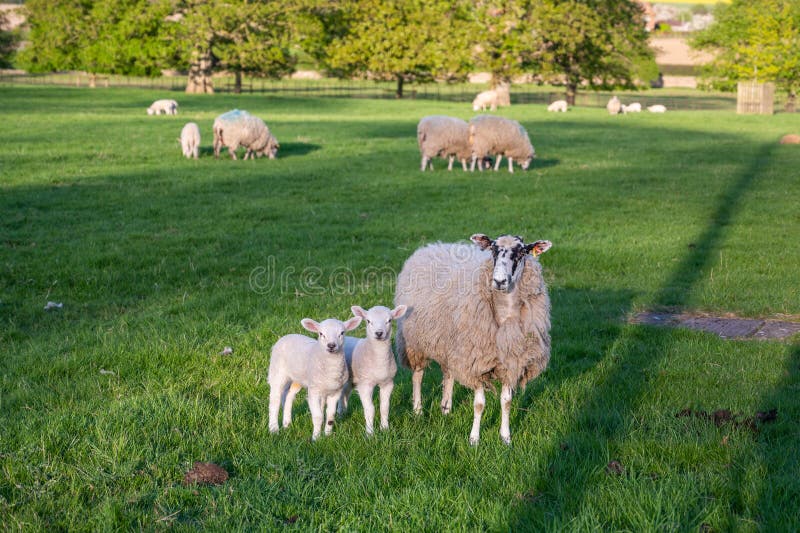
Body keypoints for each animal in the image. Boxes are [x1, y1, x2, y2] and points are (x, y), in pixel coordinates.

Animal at [339, 304, 408, 435]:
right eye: (368, 321)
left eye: (389, 320)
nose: (379, 333)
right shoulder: (365, 385)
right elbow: (370, 409)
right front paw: (370, 433)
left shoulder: (388, 383)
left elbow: (384, 407)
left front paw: (385, 429)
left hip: (351, 380)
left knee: (345, 393)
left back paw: (342, 413)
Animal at [394, 233, 552, 445]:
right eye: (493, 250)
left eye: (521, 253)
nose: (499, 281)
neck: (504, 316)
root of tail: (432, 246)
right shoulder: (476, 362)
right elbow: (479, 404)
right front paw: (474, 439)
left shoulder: (511, 361)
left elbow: (507, 402)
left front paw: (505, 437)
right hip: (415, 342)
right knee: (418, 375)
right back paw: (418, 410)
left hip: (449, 343)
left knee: (449, 373)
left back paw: (445, 408)